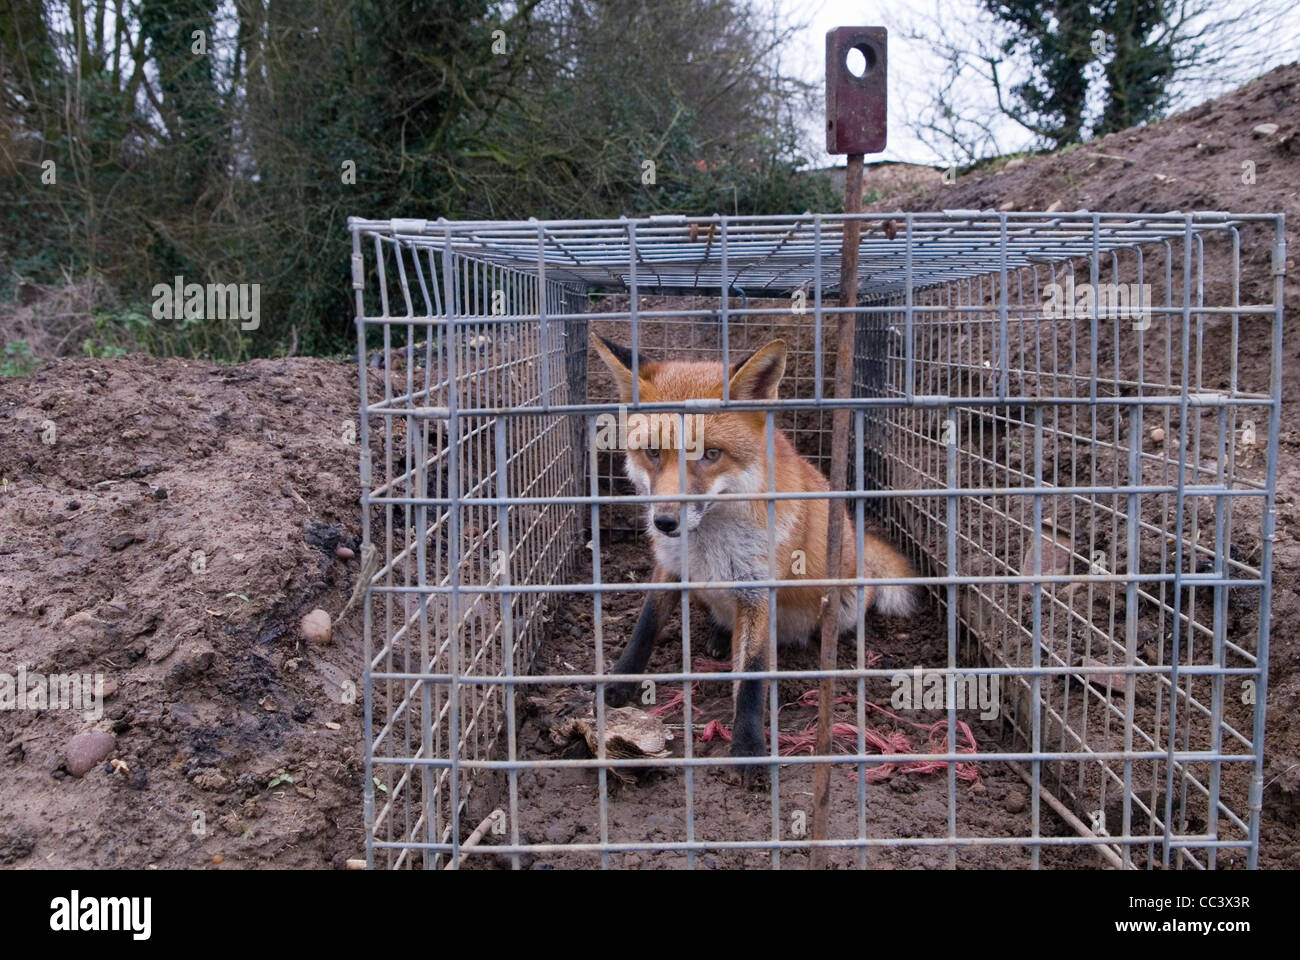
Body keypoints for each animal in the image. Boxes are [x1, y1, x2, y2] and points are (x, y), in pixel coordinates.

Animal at [592, 334, 916, 776]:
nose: (665, 522)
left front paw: (748, 747)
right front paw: (620, 682)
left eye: (711, 454)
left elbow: (751, 673)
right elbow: (644, 628)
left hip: (843, 604)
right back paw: (718, 634)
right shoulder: (671, 568)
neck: (708, 543)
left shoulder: (758, 589)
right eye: (653, 452)